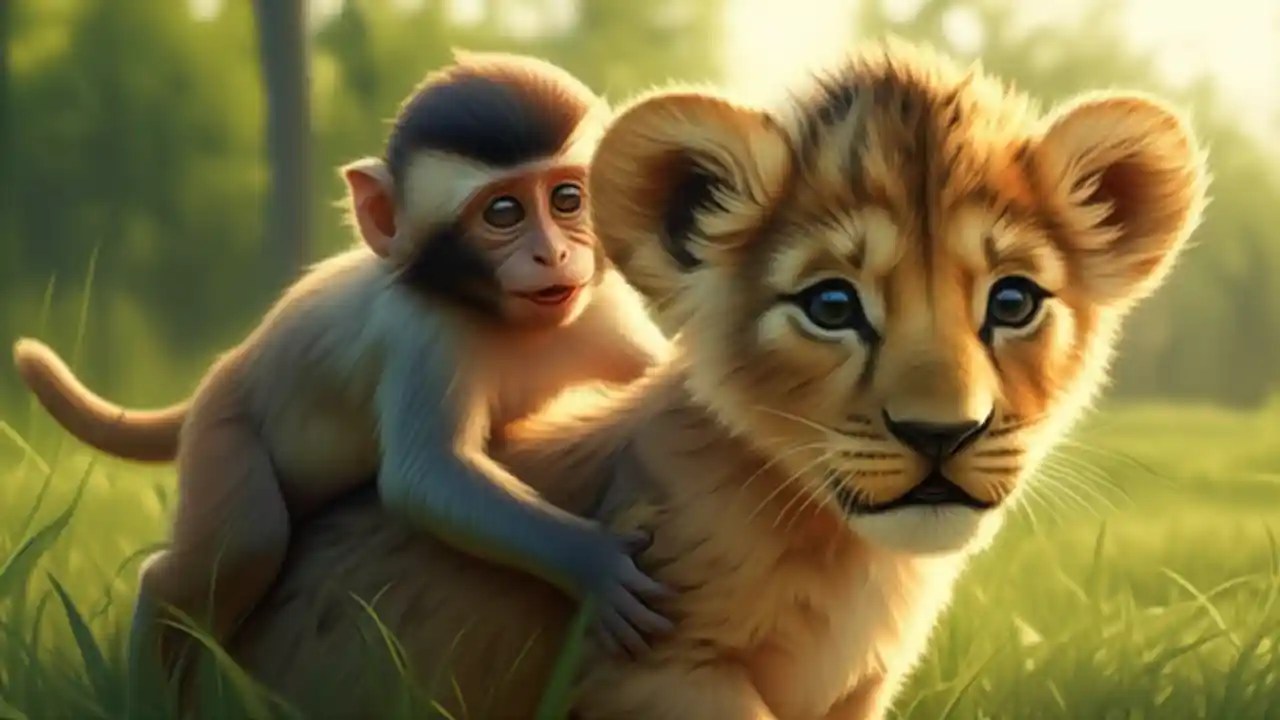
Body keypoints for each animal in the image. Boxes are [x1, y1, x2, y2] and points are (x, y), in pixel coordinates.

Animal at [11, 51, 676, 678]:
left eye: (567, 199)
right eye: (504, 212)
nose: (553, 254)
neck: (509, 322)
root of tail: (228, 366)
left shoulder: (601, 308)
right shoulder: (421, 334)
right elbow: (424, 478)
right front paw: (595, 565)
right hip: (221, 433)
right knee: (241, 544)